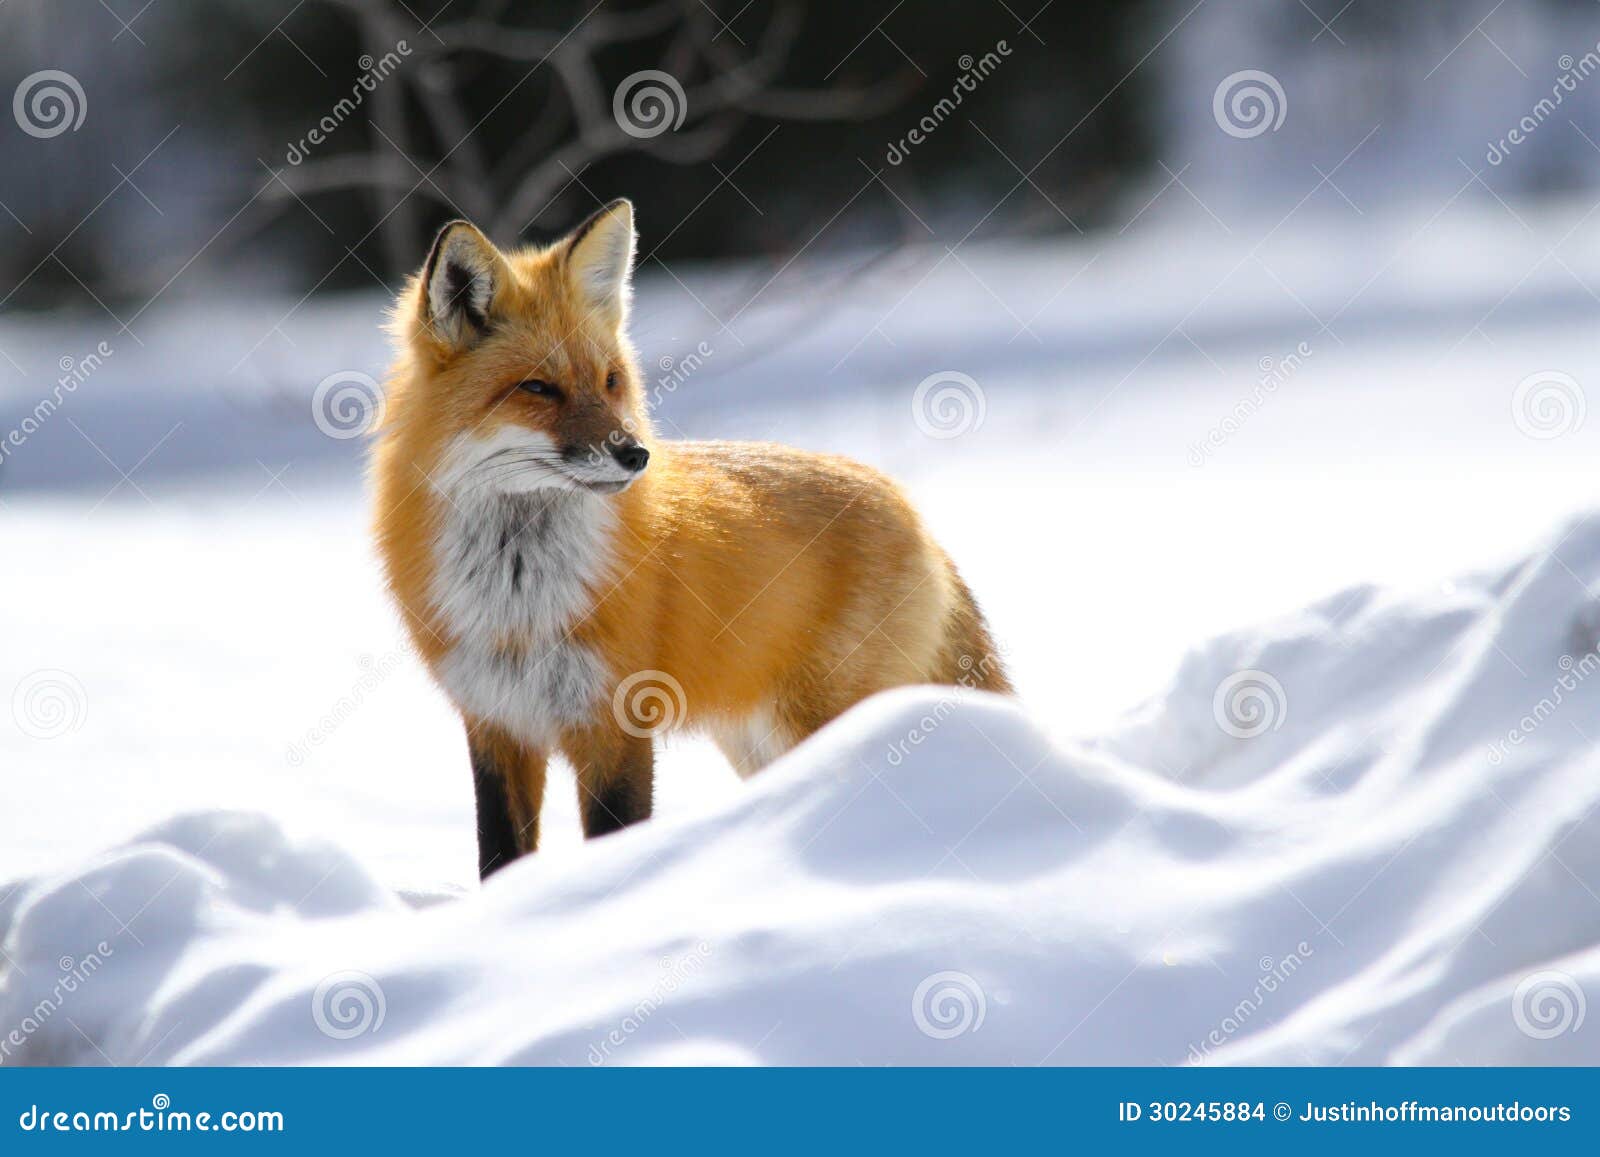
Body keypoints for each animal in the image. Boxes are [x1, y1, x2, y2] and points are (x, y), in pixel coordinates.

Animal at [372, 199, 1010, 880]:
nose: (635, 455)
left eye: (611, 381)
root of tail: (907, 504)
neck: (519, 601)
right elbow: (499, 857)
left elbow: (615, 832)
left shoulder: (617, 723)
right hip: (757, 740)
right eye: (537, 388)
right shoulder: (496, 724)